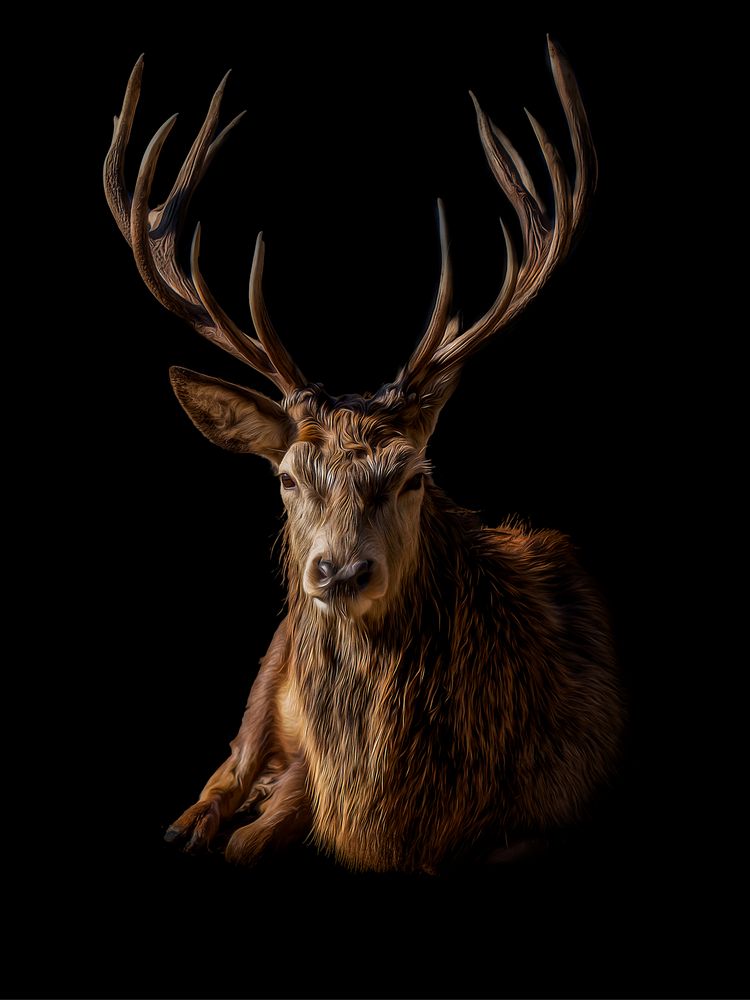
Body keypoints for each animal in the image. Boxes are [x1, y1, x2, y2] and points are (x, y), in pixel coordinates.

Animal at [104, 39, 624, 873]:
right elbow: (256, 824)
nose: (340, 571)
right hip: (270, 661)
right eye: (286, 478)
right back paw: (192, 821)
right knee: (228, 765)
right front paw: (232, 821)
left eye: (413, 476)